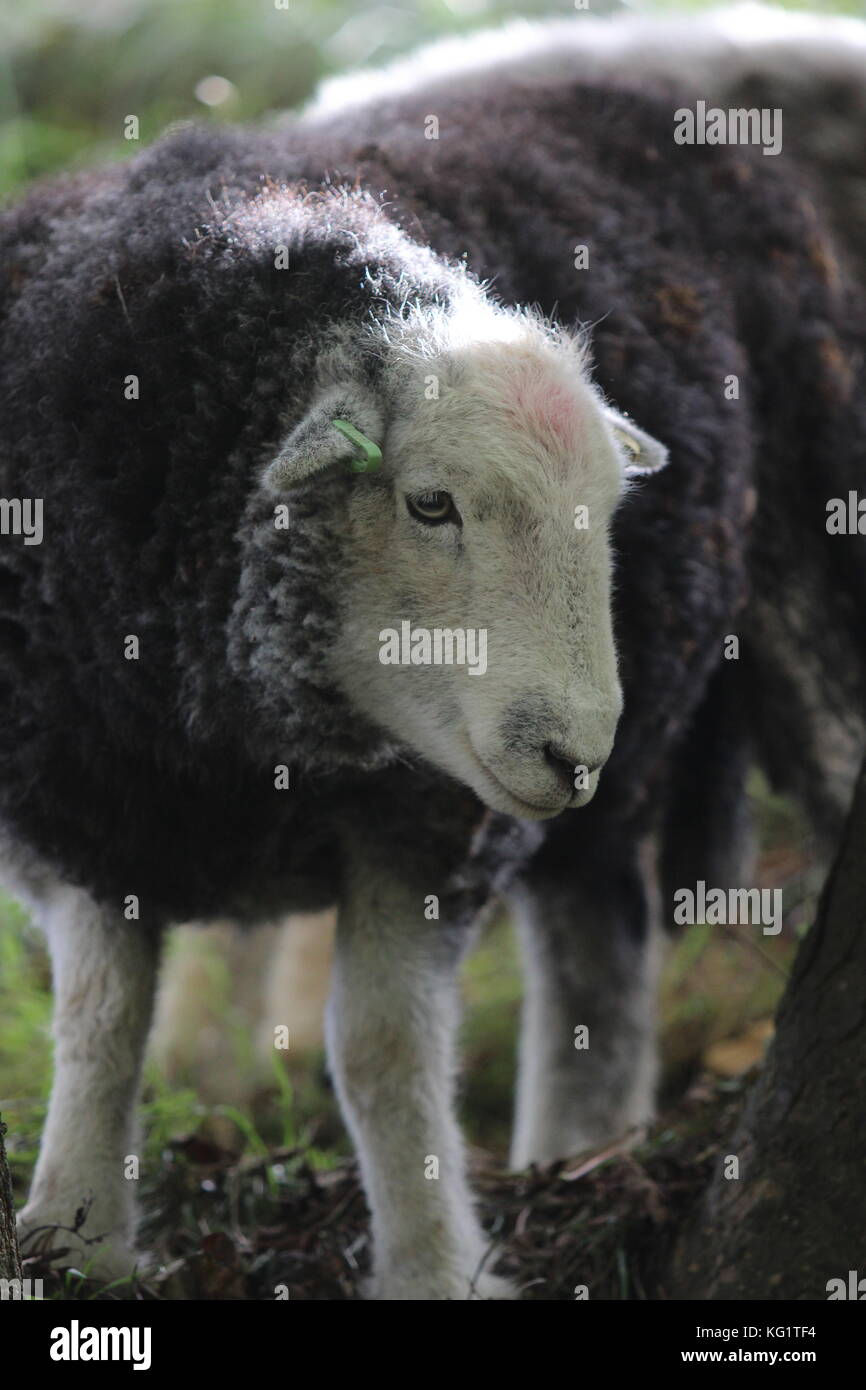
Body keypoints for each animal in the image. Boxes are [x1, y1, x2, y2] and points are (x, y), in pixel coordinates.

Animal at [2, 10, 865, 1300]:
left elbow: (380, 1050)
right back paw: (572, 1152)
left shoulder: (428, 815)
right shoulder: (81, 797)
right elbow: (100, 1025)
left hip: (814, 573)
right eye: (428, 505)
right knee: (598, 937)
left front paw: (431, 1266)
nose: (573, 751)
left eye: (609, 515)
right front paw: (76, 1243)